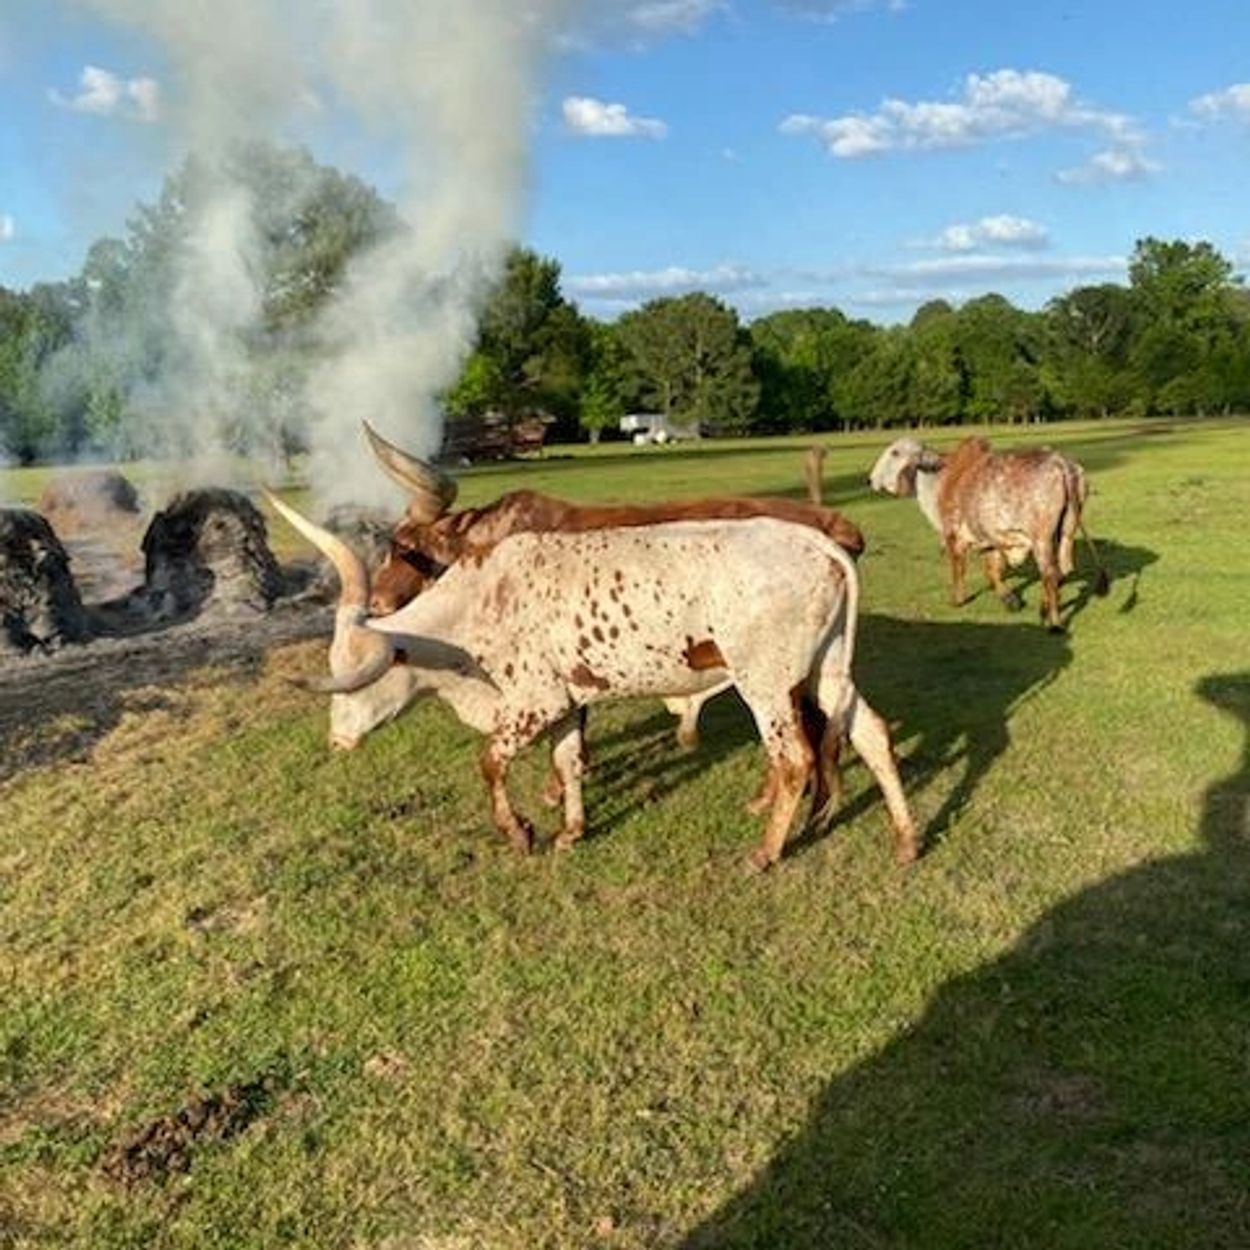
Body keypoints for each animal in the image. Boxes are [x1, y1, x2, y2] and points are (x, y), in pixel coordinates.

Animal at [267, 493, 919, 872]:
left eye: (352, 682)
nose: (336, 741)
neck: (478, 603)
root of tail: (821, 542)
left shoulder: (533, 701)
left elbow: (490, 761)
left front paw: (521, 832)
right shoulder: (566, 700)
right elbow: (569, 761)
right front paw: (571, 830)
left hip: (766, 681)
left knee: (794, 759)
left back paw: (765, 852)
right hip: (826, 668)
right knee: (871, 734)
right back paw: (906, 840)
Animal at [868, 436, 1109, 632]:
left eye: (895, 452)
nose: (870, 480)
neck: (939, 480)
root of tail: (1062, 463)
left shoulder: (953, 537)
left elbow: (958, 570)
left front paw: (957, 600)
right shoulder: (990, 540)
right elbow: (992, 571)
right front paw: (1011, 600)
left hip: (1041, 538)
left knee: (1049, 573)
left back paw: (1054, 622)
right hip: (1064, 532)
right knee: (1059, 571)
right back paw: (1045, 607)